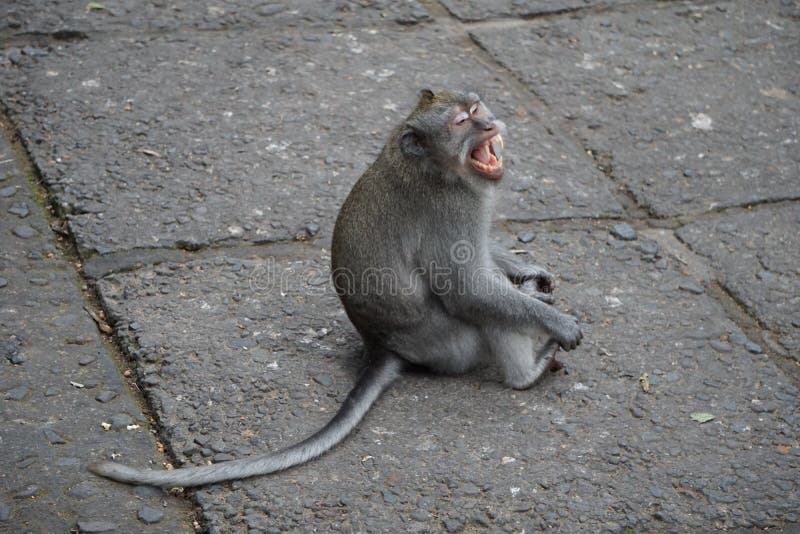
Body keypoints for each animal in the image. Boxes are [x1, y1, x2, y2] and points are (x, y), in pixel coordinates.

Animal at [89, 89, 582, 488]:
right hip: (452, 342)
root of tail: (382, 346)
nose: (489, 123)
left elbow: (483, 261)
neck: (433, 167)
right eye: (462, 122)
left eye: (477, 109)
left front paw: (530, 273)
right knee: (485, 315)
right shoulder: (450, 210)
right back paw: (529, 370)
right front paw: (558, 323)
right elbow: (467, 288)